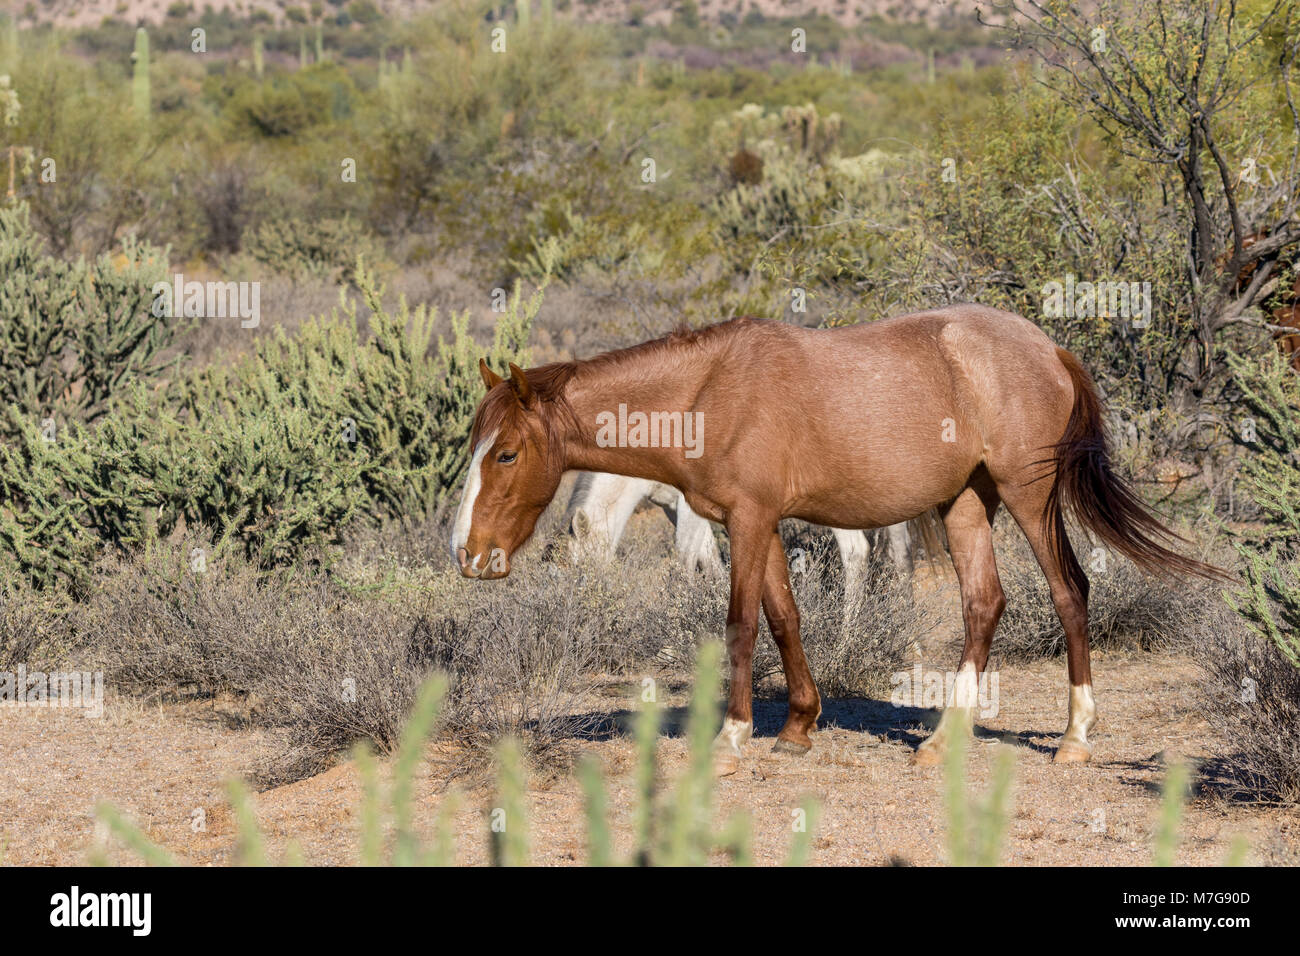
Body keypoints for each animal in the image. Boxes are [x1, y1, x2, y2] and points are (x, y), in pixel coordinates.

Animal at [451, 305, 1221, 773]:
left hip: (1029, 497)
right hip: (966, 503)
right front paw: (798, 725)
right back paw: (942, 740)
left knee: (1069, 592)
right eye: (474, 445)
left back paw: (1074, 737)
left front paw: (731, 736)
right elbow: (785, 618)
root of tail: (1049, 346)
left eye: (507, 454)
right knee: (983, 604)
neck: (708, 393)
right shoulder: (752, 524)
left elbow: (740, 622)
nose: (468, 554)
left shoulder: (749, 520)